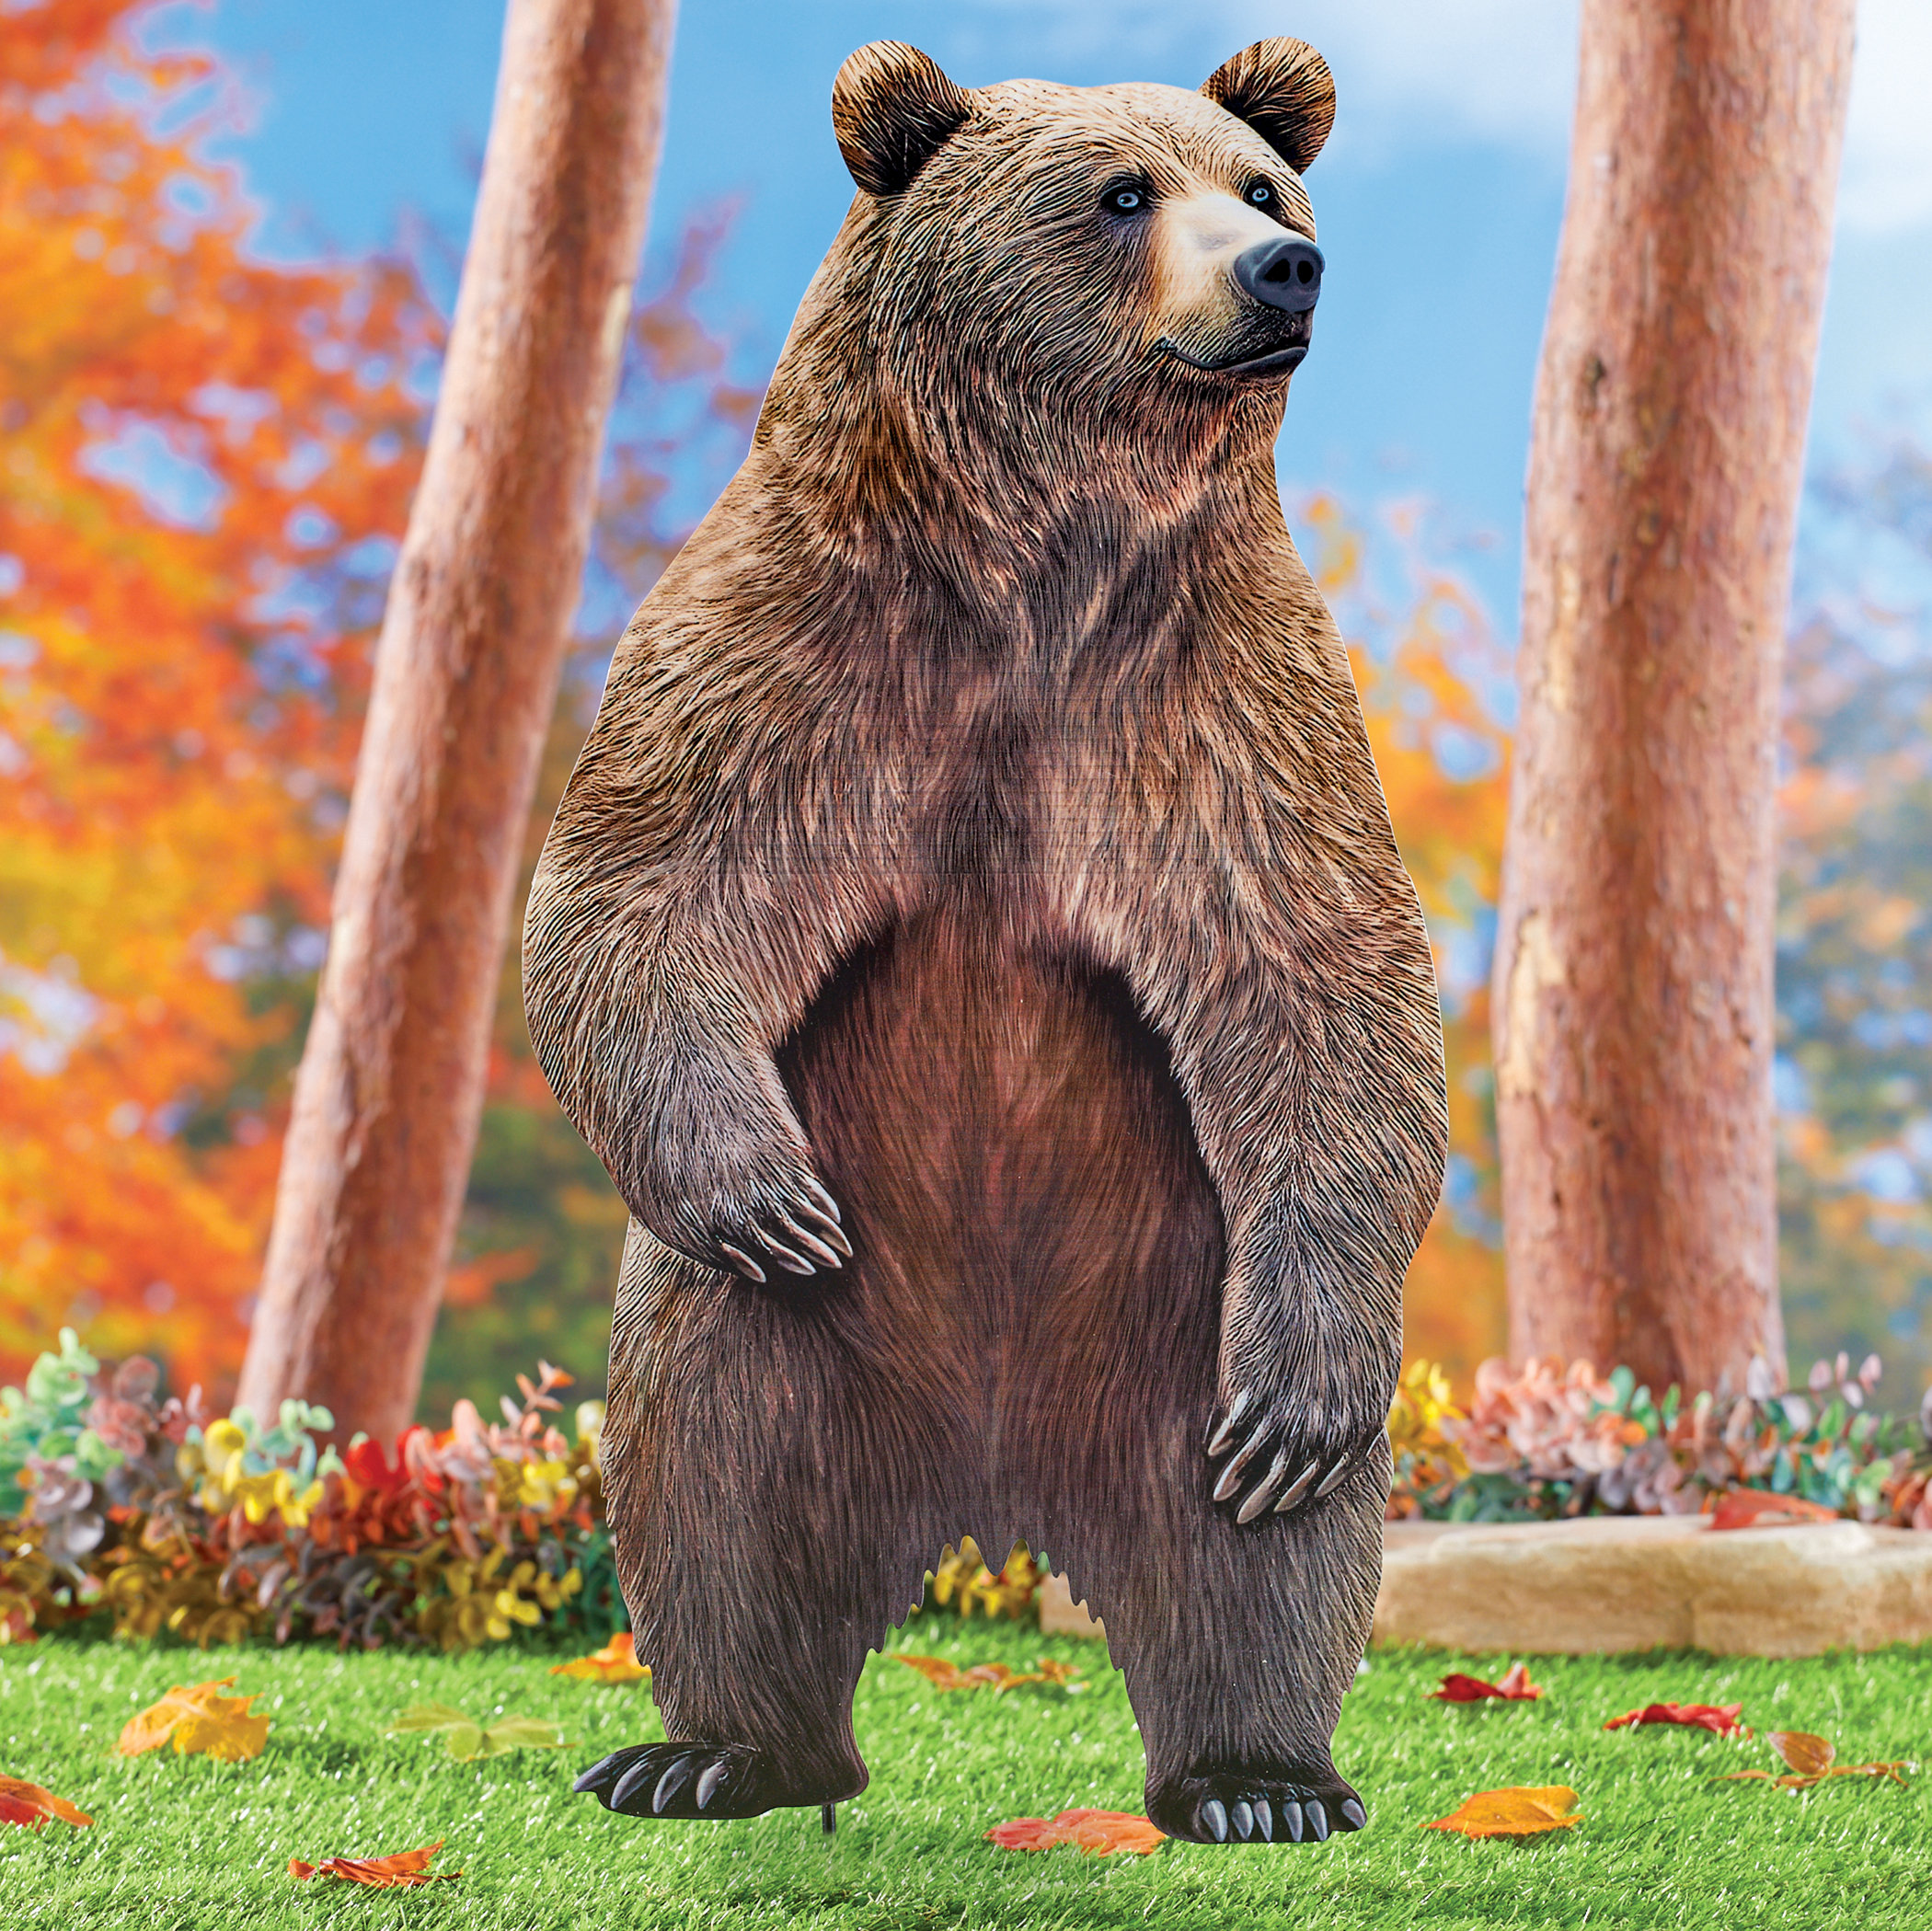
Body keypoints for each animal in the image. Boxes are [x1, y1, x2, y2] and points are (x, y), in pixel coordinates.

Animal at [522, 36, 1447, 1848]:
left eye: (1263, 186)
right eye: (1120, 192)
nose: (1283, 270)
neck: (1039, 567)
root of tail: (994, 1483)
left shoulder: (1225, 702)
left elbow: (1324, 975)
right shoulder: (796, 642)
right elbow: (638, 879)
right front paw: (766, 1194)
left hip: (1177, 1306)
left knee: (1262, 1543)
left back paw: (1259, 1774)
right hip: (779, 1346)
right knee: (712, 1482)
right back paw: (713, 1746)